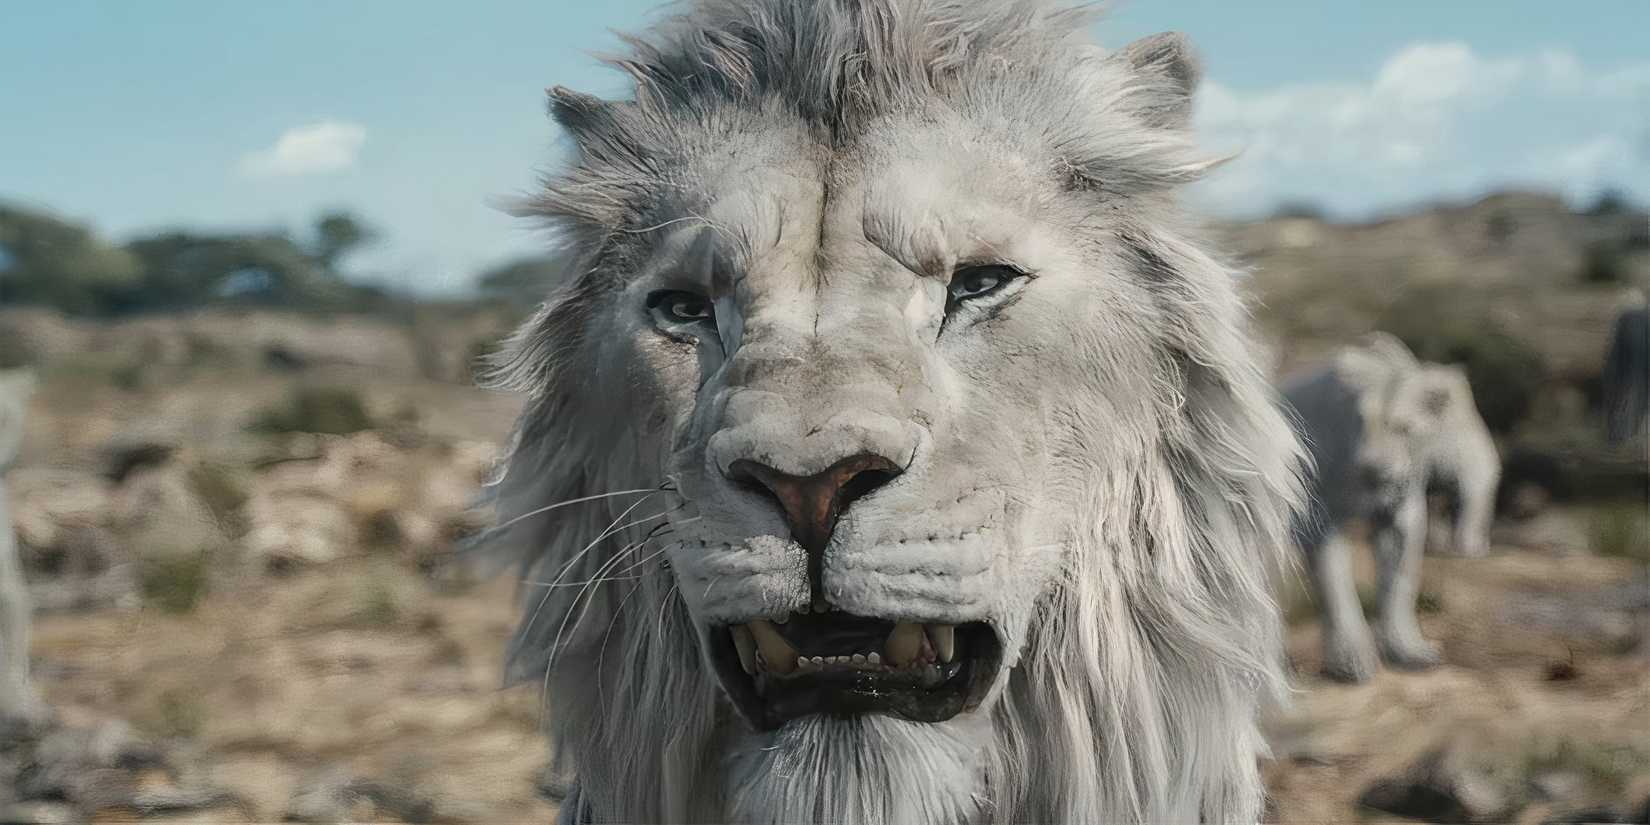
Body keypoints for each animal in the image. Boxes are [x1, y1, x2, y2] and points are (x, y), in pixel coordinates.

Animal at [1282, 333, 1463, 683]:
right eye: (1360, 423)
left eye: (1403, 428)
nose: (1374, 469)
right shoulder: (1319, 516)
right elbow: (1334, 580)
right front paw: (1352, 667)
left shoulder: (1403, 511)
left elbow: (1400, 575)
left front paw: (1410, 655)